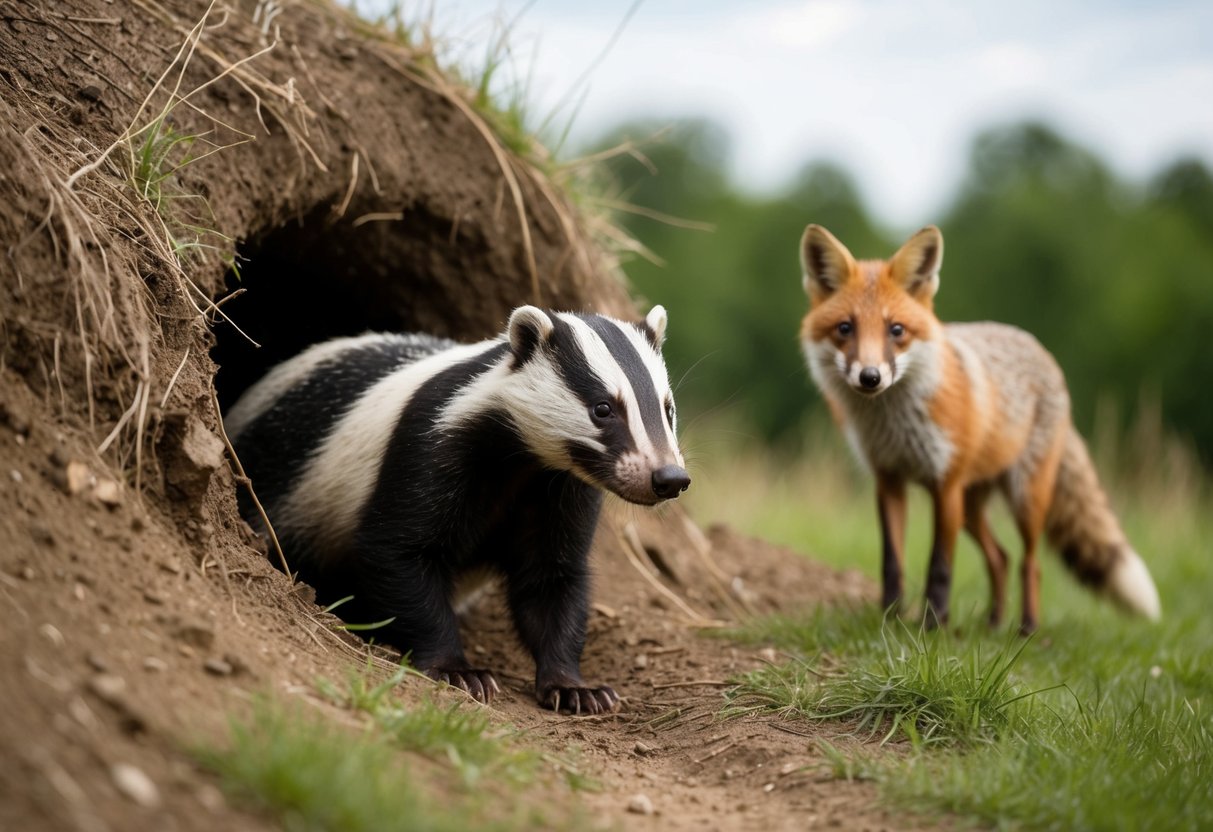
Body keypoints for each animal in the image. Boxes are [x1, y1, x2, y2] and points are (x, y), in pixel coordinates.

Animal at [797, 223, 1161, 634]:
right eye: (845, 328)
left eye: (896, 330)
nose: (871, 377)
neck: (893, 424)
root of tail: (1037, 346)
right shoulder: (889, 481)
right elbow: (892, 563)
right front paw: (890, 620)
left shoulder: (946, 485)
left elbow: (940, 566)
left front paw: (933, 627)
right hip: (972, 508)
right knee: (1000, 557)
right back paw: (992, 625)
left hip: (1024, 498)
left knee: (1030, 563)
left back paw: (1027, 630)